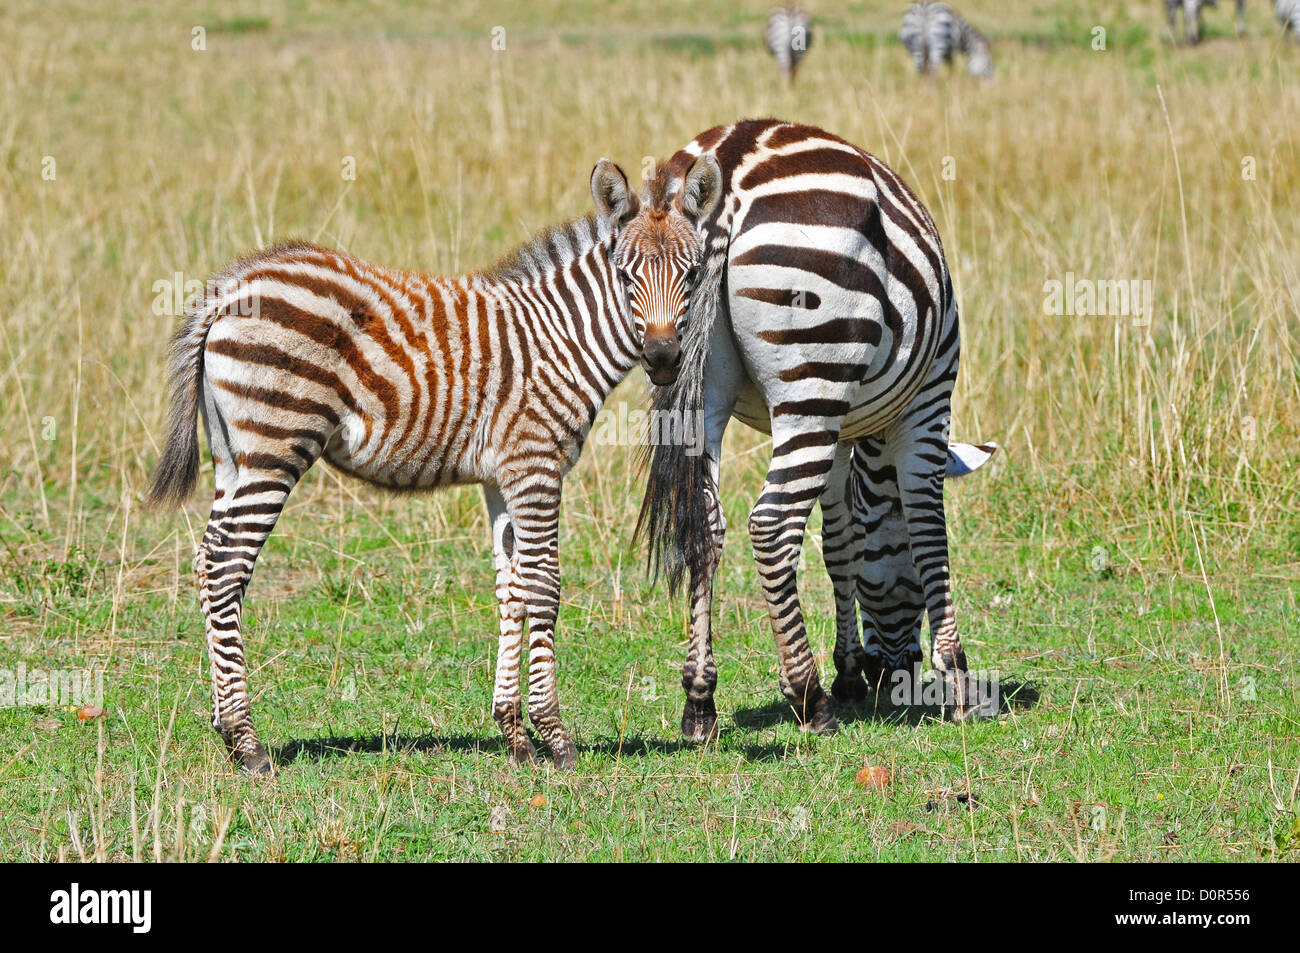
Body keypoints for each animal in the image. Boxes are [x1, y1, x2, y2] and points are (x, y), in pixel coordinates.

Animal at [145, 156, 722, 774]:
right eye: (626, 276)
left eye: (691, 276)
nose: (664, 359)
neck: (563, 338)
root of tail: (231, 286)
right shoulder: (534, 465)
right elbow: (544, 586)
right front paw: (556, 737)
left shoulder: (501, 477)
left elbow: (511, 587)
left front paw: (514, 734)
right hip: (275, 447)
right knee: (226, 566)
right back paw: (247, 742)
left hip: (234, 457)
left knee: (207, 562)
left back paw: (224, 725)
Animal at [633, 119, 993, 740]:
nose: (893, 673)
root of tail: (729, 164)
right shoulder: (928, 403)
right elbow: (930, 533)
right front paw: (957, 679)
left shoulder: (841, 430)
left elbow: (841, 542)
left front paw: (848, 672)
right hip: (812, 381)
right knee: (772, 525)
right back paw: (808, 697)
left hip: (698, 382)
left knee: (707, 525)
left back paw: (701, 702)